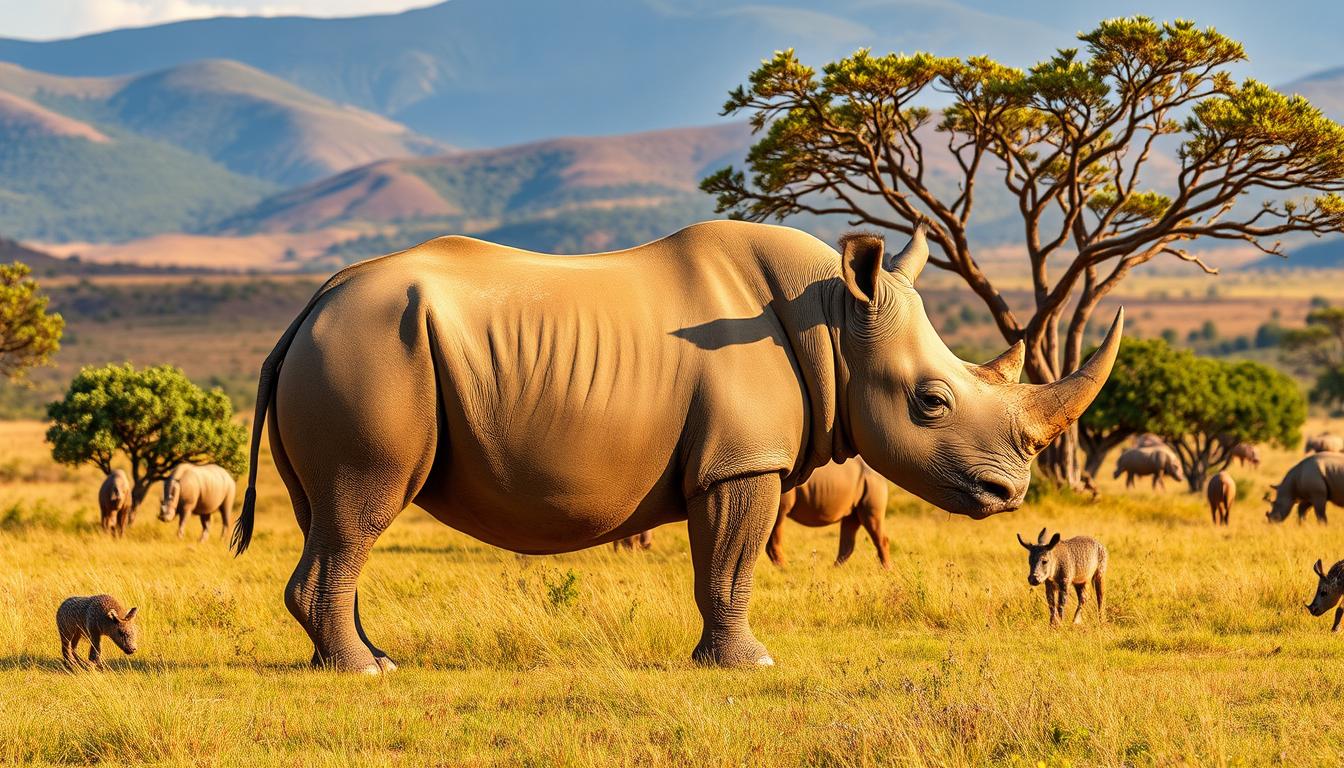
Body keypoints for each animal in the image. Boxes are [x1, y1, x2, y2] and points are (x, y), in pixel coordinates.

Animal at [230, 221, 1122, 673]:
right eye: (931, 402)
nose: (1010, 493)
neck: (835, 321)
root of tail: (307, 312)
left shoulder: (732, 460)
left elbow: (721, 566)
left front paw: (721, 660)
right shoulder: (741, 461)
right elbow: (729, 567)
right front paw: (747, 665)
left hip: (349, 354)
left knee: (332, 518)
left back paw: (364, 658)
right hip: (368, 355)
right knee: (361, 507)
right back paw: (366, 671)